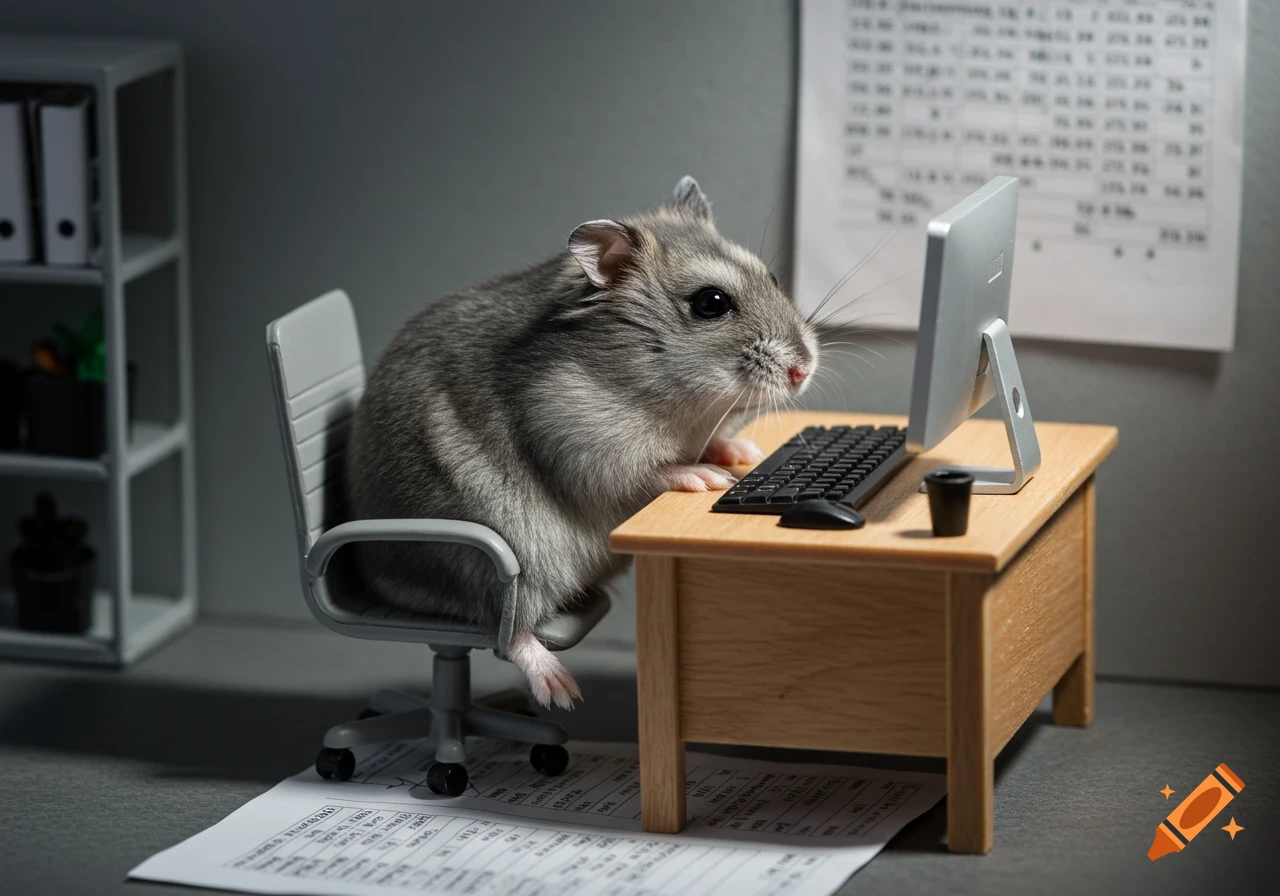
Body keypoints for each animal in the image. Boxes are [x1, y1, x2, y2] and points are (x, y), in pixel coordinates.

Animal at [345, 177, 819, 709]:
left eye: (773, 279)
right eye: (711, 303)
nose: (804, 370)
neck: (675, 402)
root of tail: (374, 578)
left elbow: (718, 442)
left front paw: (743, 454)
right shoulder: (573, 435)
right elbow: (644, 471)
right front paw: (705, 477)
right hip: (501, 565)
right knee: (508, 633)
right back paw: (562, 692)